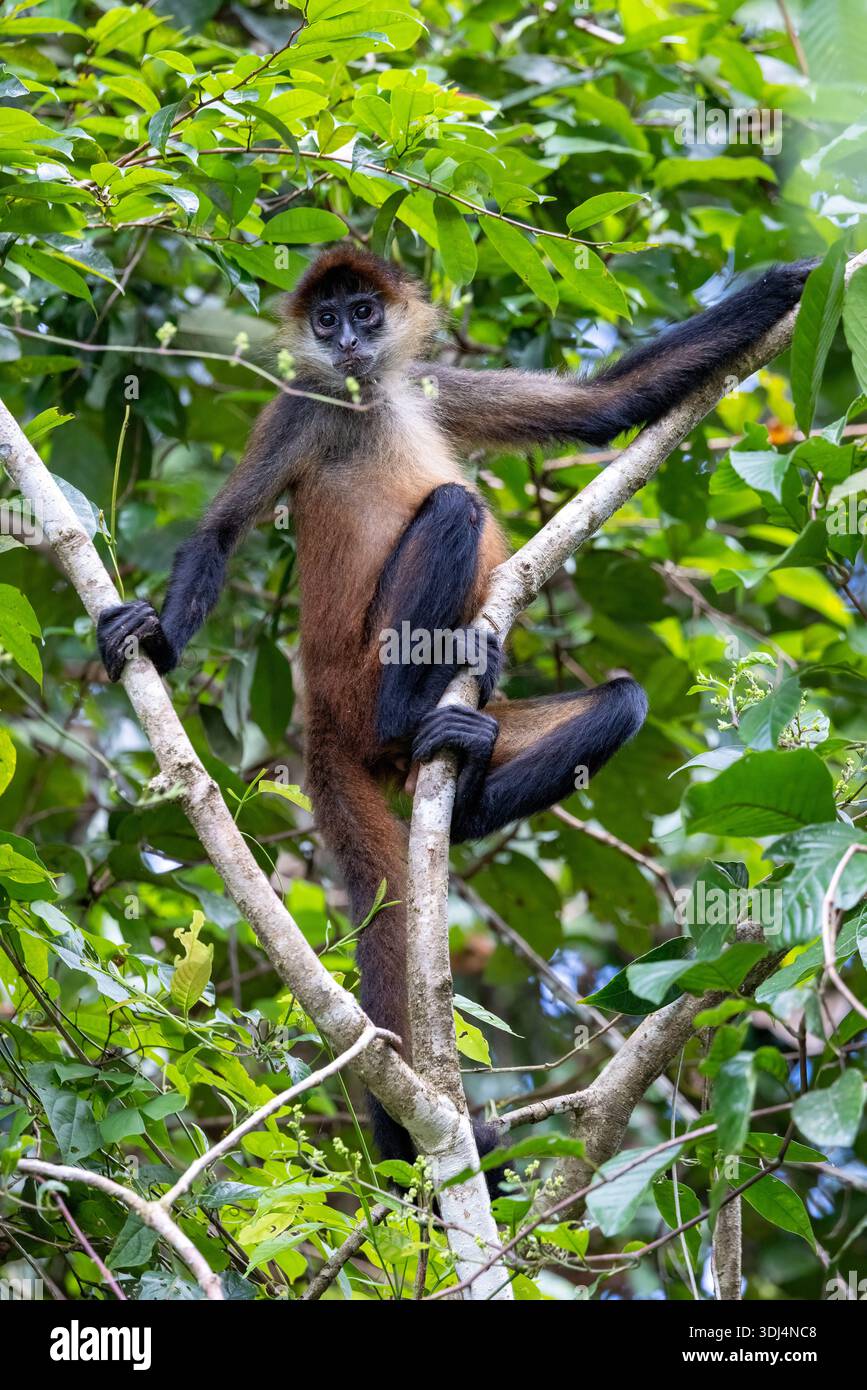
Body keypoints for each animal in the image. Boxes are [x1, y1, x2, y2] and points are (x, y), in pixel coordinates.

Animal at [97, 245, 814, 1173]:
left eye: (364, 312)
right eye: (324, 320)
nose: (349, 342)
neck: (367, 396)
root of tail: (324, 718)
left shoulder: (424, 382)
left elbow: (602, 406)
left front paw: (787, 283)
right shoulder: (300, 403)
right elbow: (219, 533)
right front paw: (157, 643)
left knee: (616, 704)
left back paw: (465, 782)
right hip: (363, 671)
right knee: (451, 507)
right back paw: (412, 717)